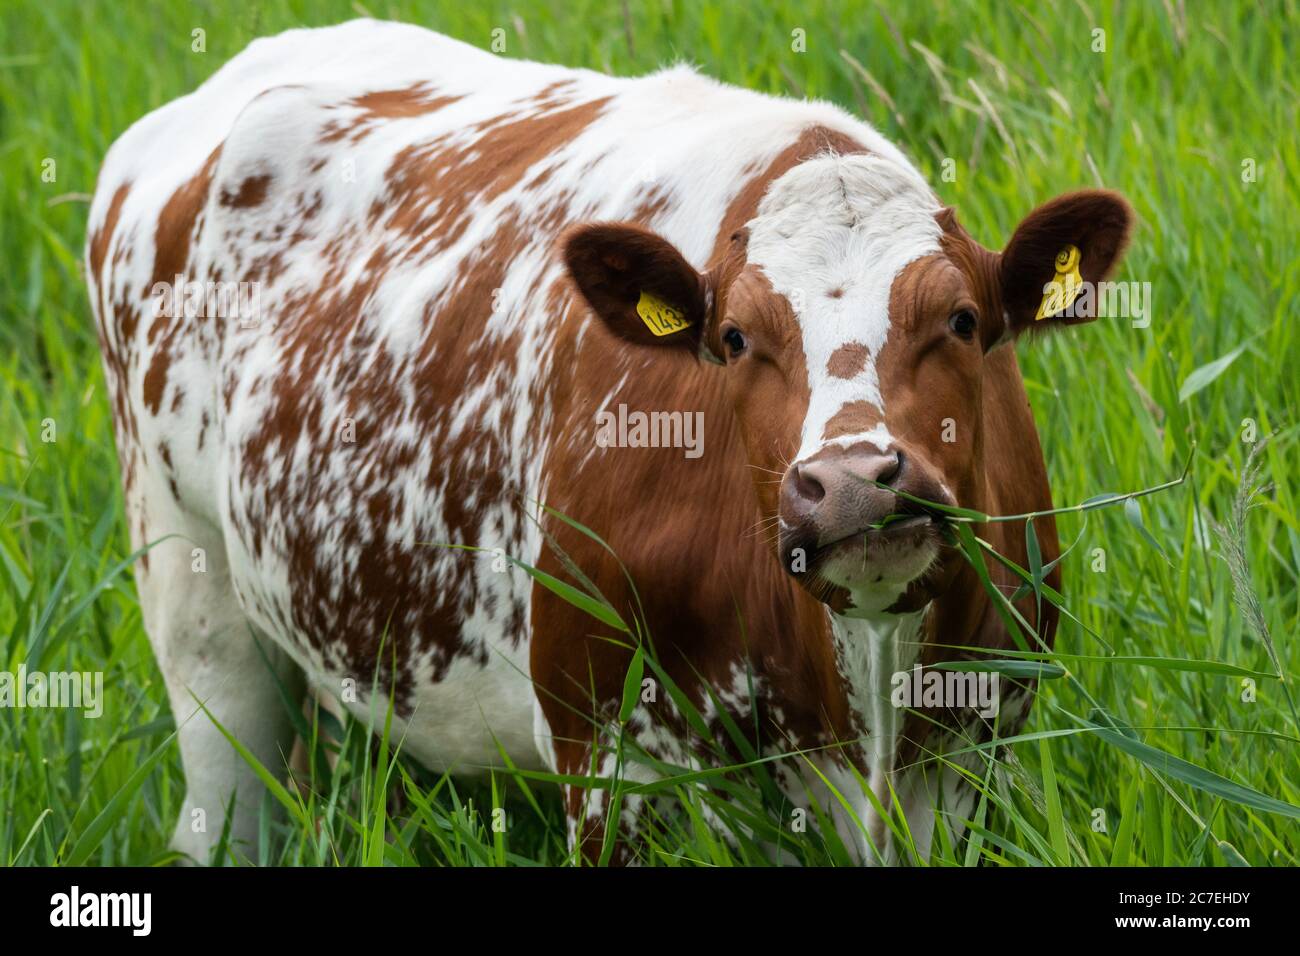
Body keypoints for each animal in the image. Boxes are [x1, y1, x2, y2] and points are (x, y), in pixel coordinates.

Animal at [86, 19, 1131, 864]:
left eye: (961, 319)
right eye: (734, 339)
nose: (853, 482)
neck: (862, 691)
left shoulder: (976, 754)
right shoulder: (611, 764)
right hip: (192, 598)